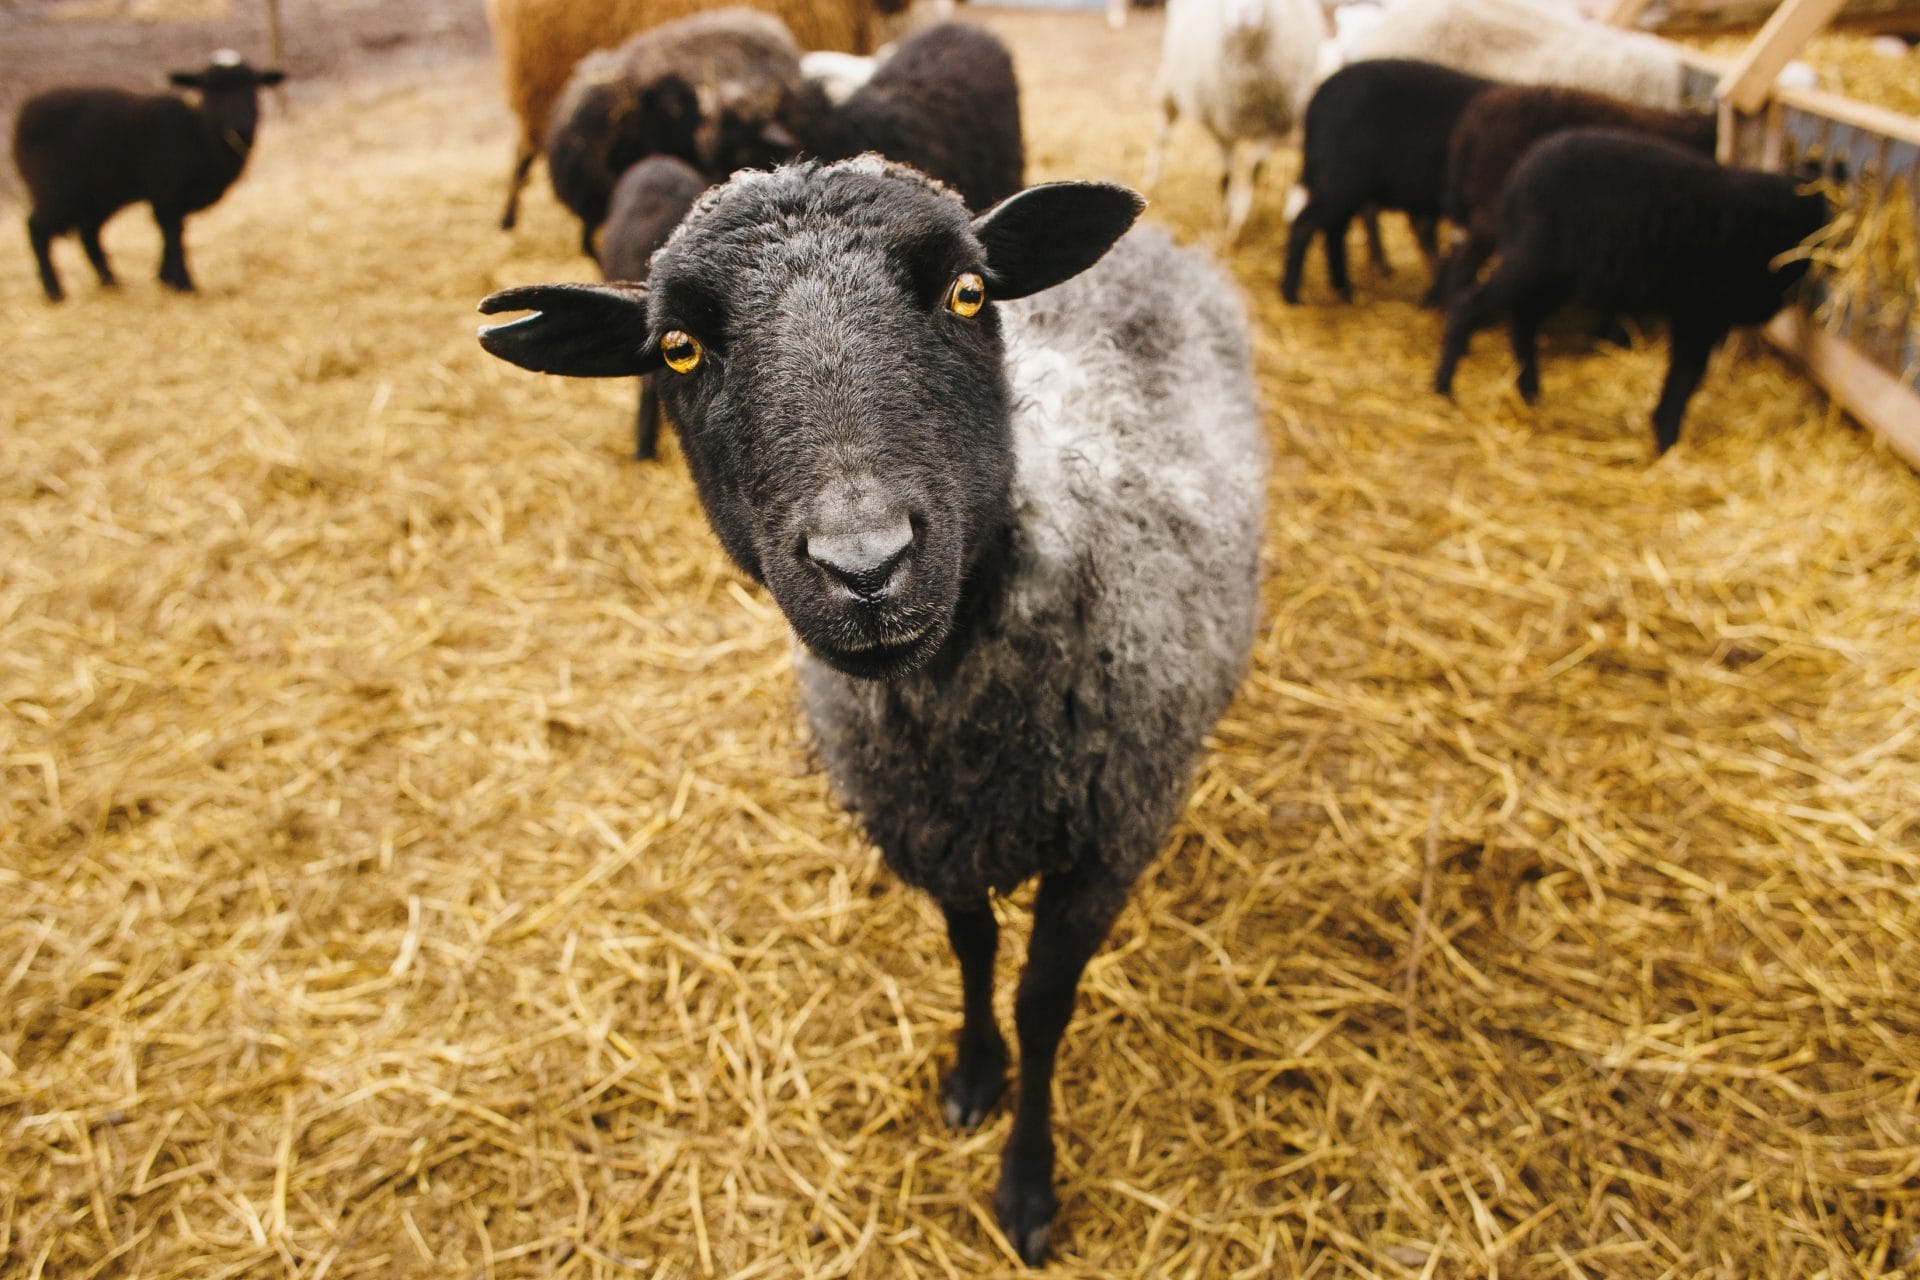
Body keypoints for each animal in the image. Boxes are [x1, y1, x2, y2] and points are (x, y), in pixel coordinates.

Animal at [11, 51, 284, 302]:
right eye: (210, 88)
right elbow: (173, 235)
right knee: (37, 229)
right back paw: (54, 292)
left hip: (98, 195)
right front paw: (184, 284)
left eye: (253, 86)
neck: (198, 133)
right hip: (55, 190)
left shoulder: (169, 197)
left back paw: (111, 283)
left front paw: (165, 279)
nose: (241, 126)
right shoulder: (166, 191)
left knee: (89, 234)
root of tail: (24, 111)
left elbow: (171, 234)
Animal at [1143, 0, 1330, 243]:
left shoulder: (1274, 125)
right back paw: (1151, 178)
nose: (1243, 14)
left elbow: (1254, 169)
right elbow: (1227, 175)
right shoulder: (1220, 126)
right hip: (1171, 76)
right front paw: (1226, 216)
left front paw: (1238, 221)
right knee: (1162, 131)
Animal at [1279, 59, 1493, 304]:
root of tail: (1320, 96)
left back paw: (1344, 291)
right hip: (1341, 178)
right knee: (1306, 223)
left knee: (1334, 229)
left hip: (1346, 184)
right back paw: (1292, 296)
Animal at [1432, 128, 1829, 455]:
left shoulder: (1695, 314)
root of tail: (1520, 173)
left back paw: (1529, 392)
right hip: (1534, 257)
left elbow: (1684, 373)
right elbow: (1685, 374)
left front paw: (1663, 432)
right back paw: (1444, 387)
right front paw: (1667, 440)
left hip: (1555, 273)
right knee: (1471, 305)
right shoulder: (1700, 312)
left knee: (1523, 321)